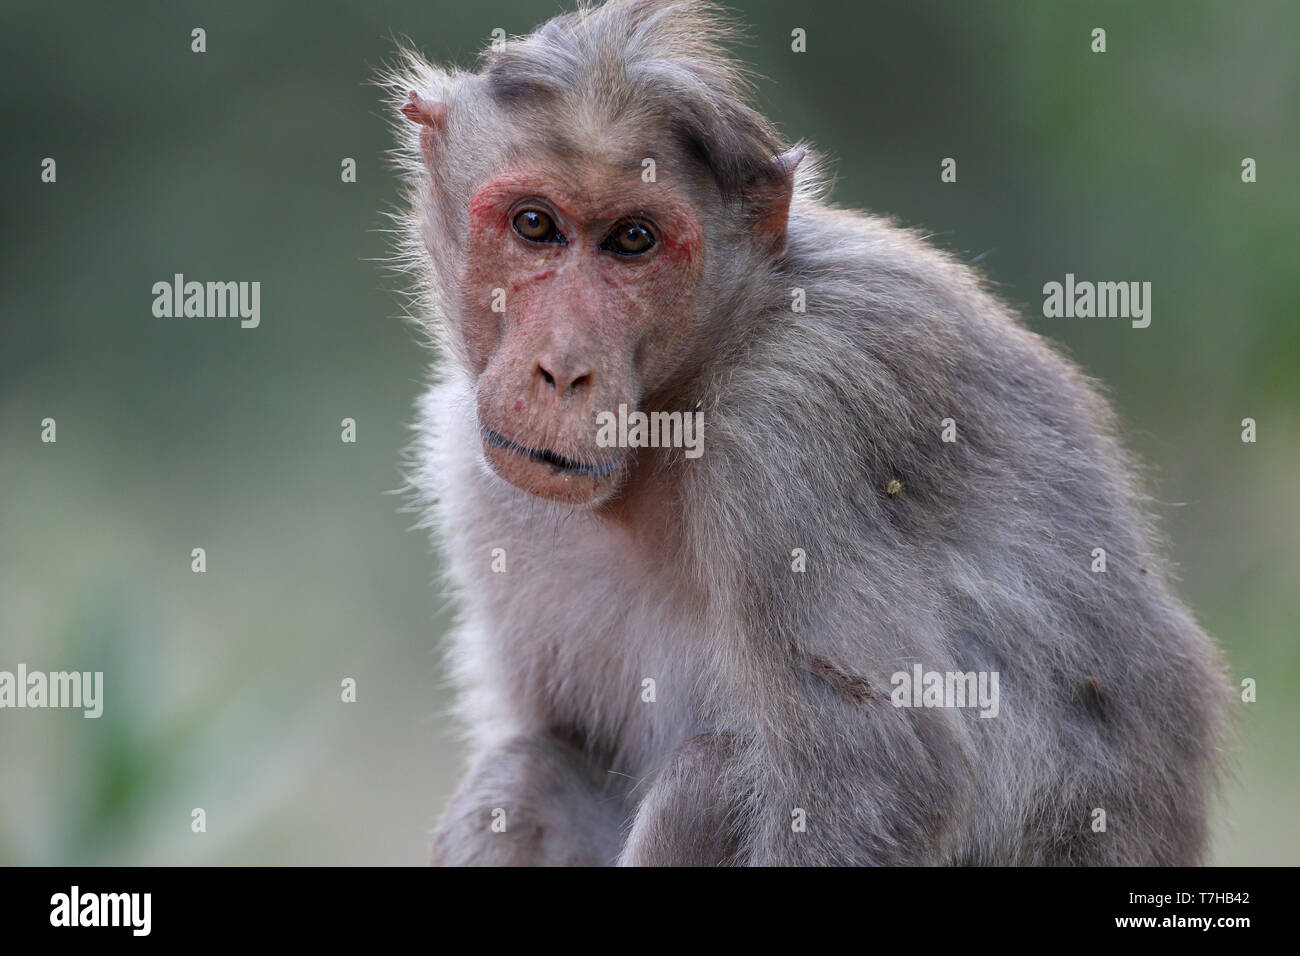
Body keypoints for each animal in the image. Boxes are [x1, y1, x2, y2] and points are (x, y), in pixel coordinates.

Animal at [385, 0, 1229, 866]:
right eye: (535, 225)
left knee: (714, 773)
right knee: (527, 778)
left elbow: (879, 774)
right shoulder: (469, 464)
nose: (562, 368)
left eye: (633, 240)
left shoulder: (790, 427)